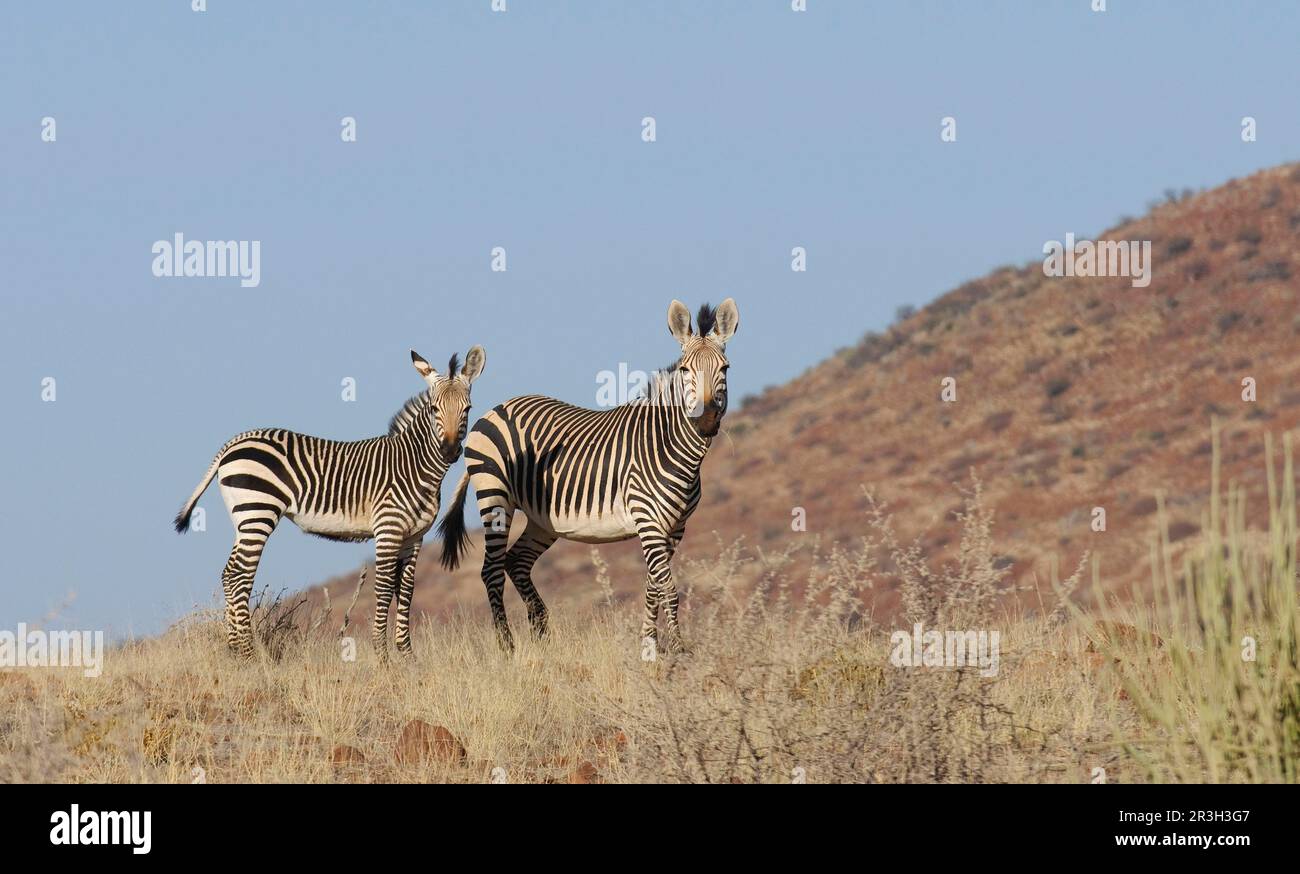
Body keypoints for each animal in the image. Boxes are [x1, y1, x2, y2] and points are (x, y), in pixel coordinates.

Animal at [174, 347, 485, 660]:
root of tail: (235, 442)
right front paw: (383, 657)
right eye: (434, 409)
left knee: (230, 575)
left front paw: (407, 657)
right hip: (257, 512)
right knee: (239, 575)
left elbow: (406, 592)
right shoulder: (388, 530)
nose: (449, 451)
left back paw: (236, 652)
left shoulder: (414, 536)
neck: (414, 466)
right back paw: (249, 654)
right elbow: (385, 588)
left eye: (467, 409)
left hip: (245, 518)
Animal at [438, 299, 738, 654]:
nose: (706, 421)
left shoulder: (675, 528)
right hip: (494, 496)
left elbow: (653, 586)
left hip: (542, 518)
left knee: (516, 562)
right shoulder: (648, 520)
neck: (672, 446)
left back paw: (543, 636)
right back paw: (507, 647)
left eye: (725, 369)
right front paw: (678, 649)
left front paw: (650, 646)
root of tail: (493, 410)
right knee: (492, 570)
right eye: (685, 370)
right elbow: (668, 589)